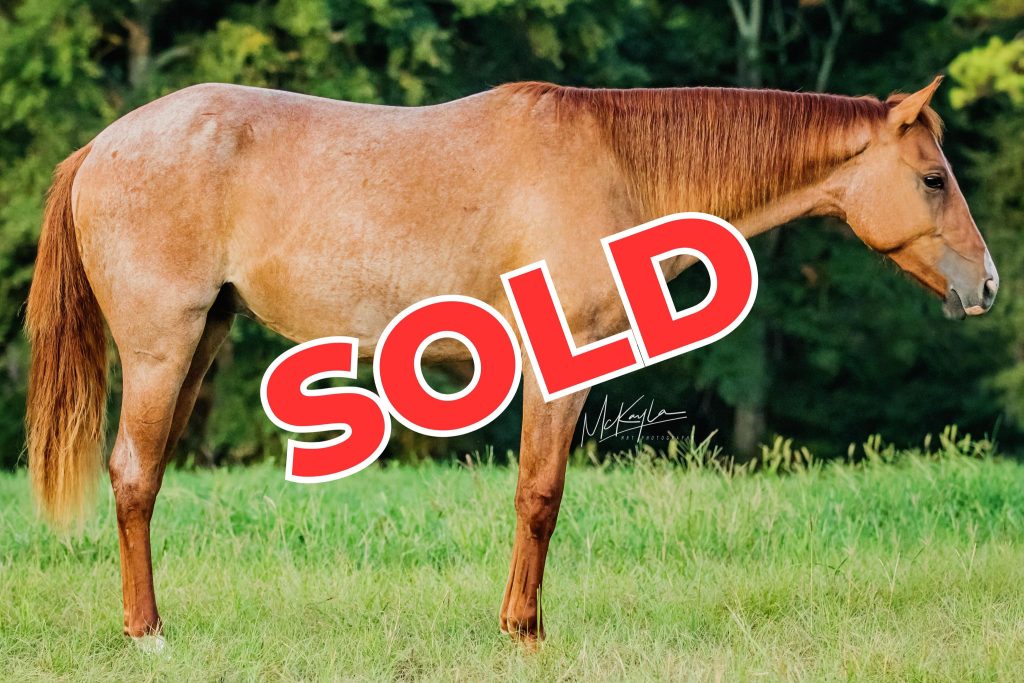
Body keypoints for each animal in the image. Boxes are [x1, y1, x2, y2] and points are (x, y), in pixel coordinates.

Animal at [26, 76, 997, 646]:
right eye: (934, 178)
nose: (987, 284)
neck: (620, 164)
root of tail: (103, 145)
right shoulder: (555, 366)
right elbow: (540, 496)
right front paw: (523, 629)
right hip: (163, 349)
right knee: (133, 474)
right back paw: (147, 632)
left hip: (201, 342)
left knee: (145, 477)